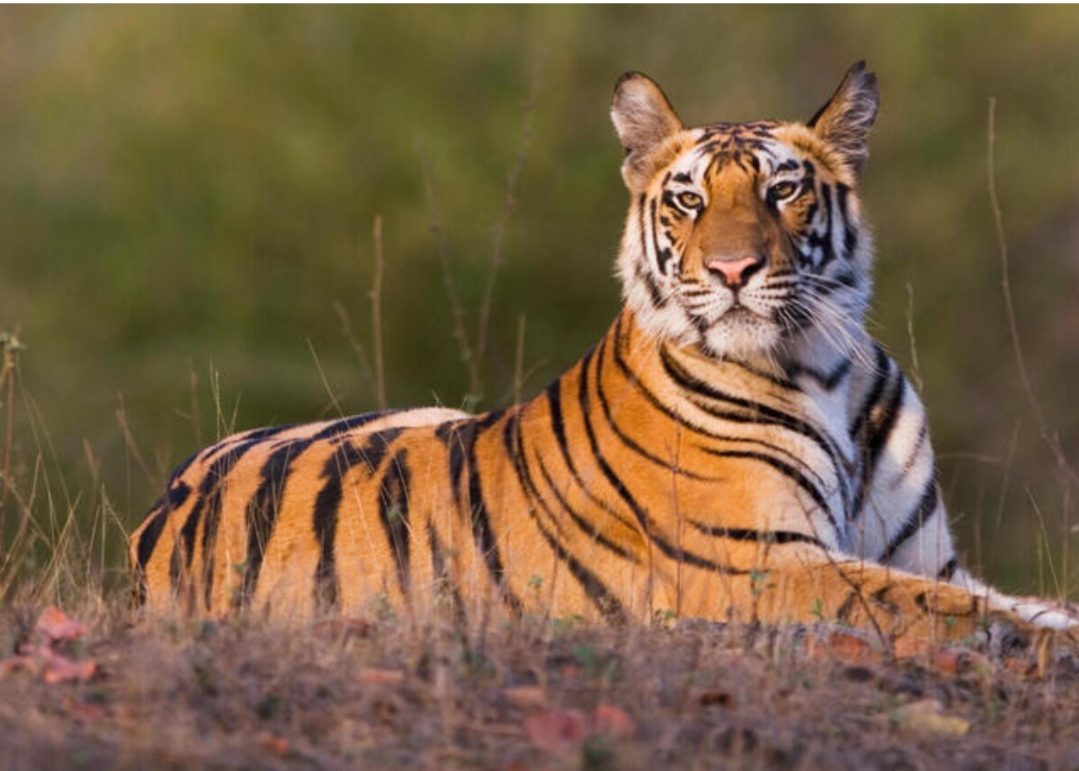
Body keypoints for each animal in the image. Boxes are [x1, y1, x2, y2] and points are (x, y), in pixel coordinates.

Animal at [131, 62, 1075, 649]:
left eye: (783, 189)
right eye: (689, 200)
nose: (733, 270)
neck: (823, 369)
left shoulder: (924, 553)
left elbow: (996, 595)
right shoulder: (758, 561)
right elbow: (939, 608)